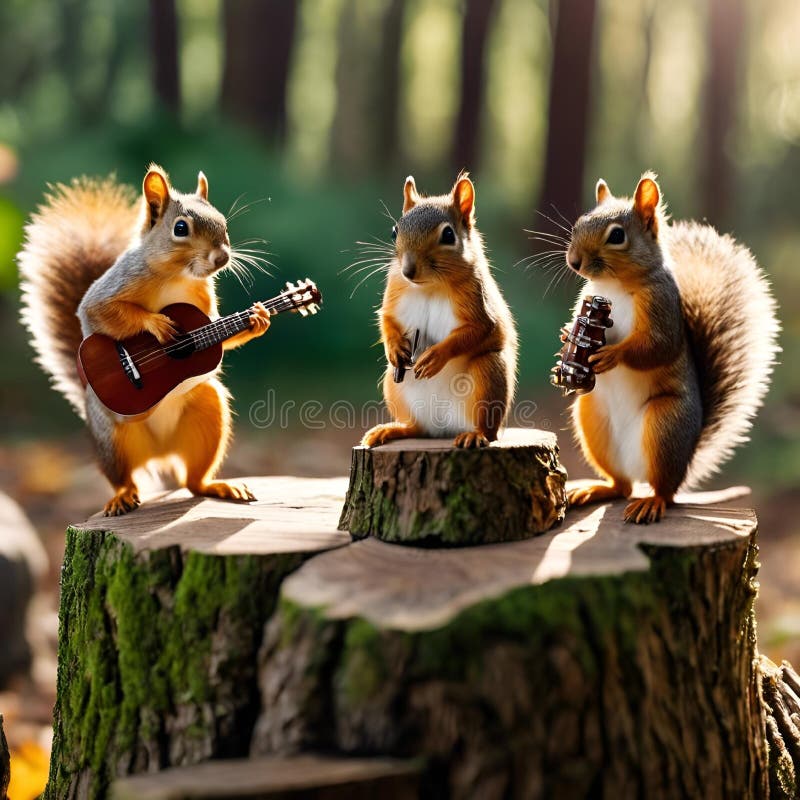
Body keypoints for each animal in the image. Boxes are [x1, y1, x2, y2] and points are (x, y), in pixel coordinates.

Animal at [18, 165, 272, 516]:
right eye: (181, 228)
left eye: (223, 222)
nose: (222, 258)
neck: (179, 275)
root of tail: (160, 453)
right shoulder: (110, 291)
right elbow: (99, 312)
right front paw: (157, 324)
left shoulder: (205, 307)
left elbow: (220, 335)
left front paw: (258, 319)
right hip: (112, 439)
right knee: (124, 477)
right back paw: (123, 496)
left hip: (207, 412)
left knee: (193, 481)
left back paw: (218, 486)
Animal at [362, 173, 517, 449]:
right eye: (394, 231)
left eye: (448, 235)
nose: (408, 270)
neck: (429, 287)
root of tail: (444, 428)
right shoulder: (394, 290)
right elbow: (387, 320)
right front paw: (394, 348)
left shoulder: (479, 304)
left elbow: (475, 331)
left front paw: (435, 356)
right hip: (393, 384)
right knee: (416, 427)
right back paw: (392, 429)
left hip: (489, 375)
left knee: (488, 429)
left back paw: (475, 435)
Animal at [561, 172, 779, 523]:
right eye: (579, 224)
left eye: (617, 235)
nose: (574, 261)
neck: (614, 286)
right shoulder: (588, 298)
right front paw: (566, 338)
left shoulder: (662, 308)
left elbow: (657, 347)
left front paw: (612, 354)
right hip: (592, 416)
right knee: (621, 485)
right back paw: (596, 489)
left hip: (666, 425)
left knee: (663, 489)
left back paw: (652, 502)